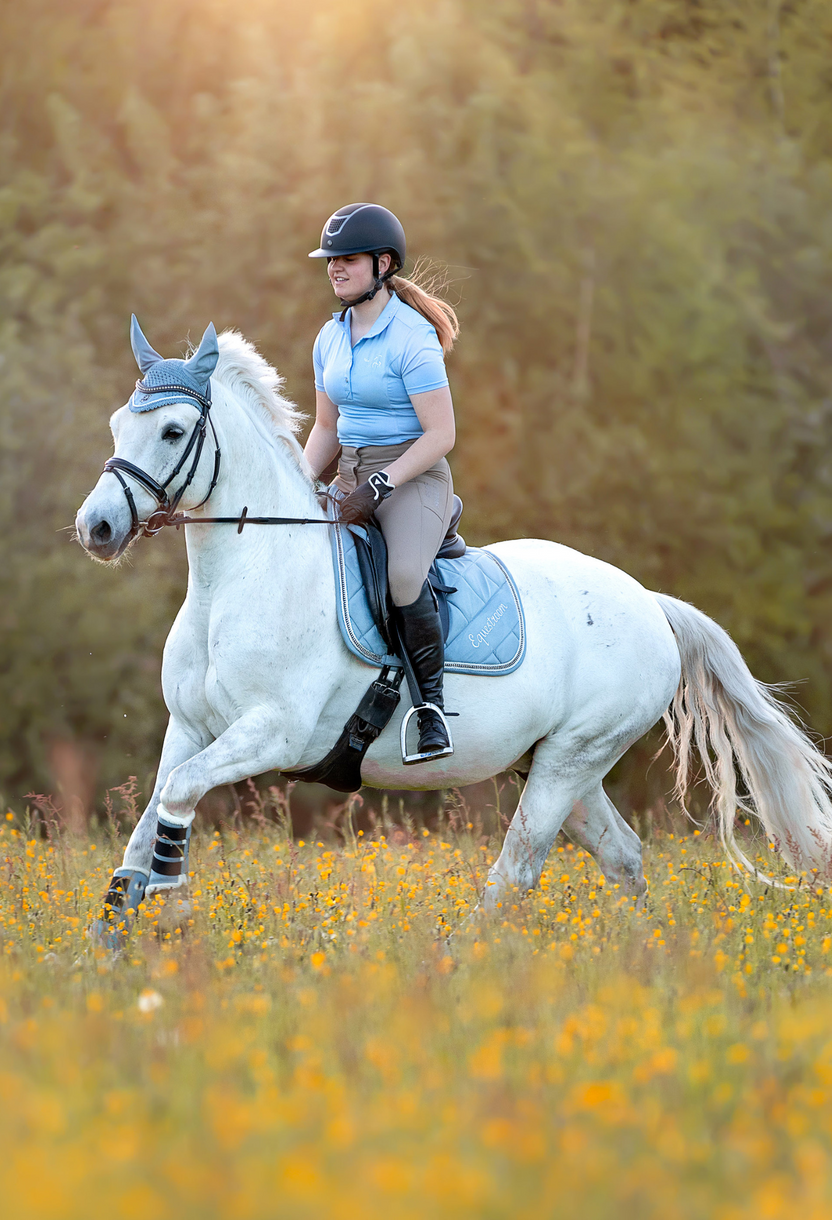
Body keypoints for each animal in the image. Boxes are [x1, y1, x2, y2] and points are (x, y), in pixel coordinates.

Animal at [75, 319, 832, 932]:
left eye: (173, 431)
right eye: (116, 425)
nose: (97, 528)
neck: (243, 577)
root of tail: (649, 602)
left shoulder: (271, 731)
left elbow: (176, 801)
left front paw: (168, 908)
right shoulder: (191, 729)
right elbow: (145, 829)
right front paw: (111, 944)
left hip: (572, 758)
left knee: (515, 872)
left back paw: (458, 965)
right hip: (561, 765)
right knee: (622, 857)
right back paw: (647, 958)